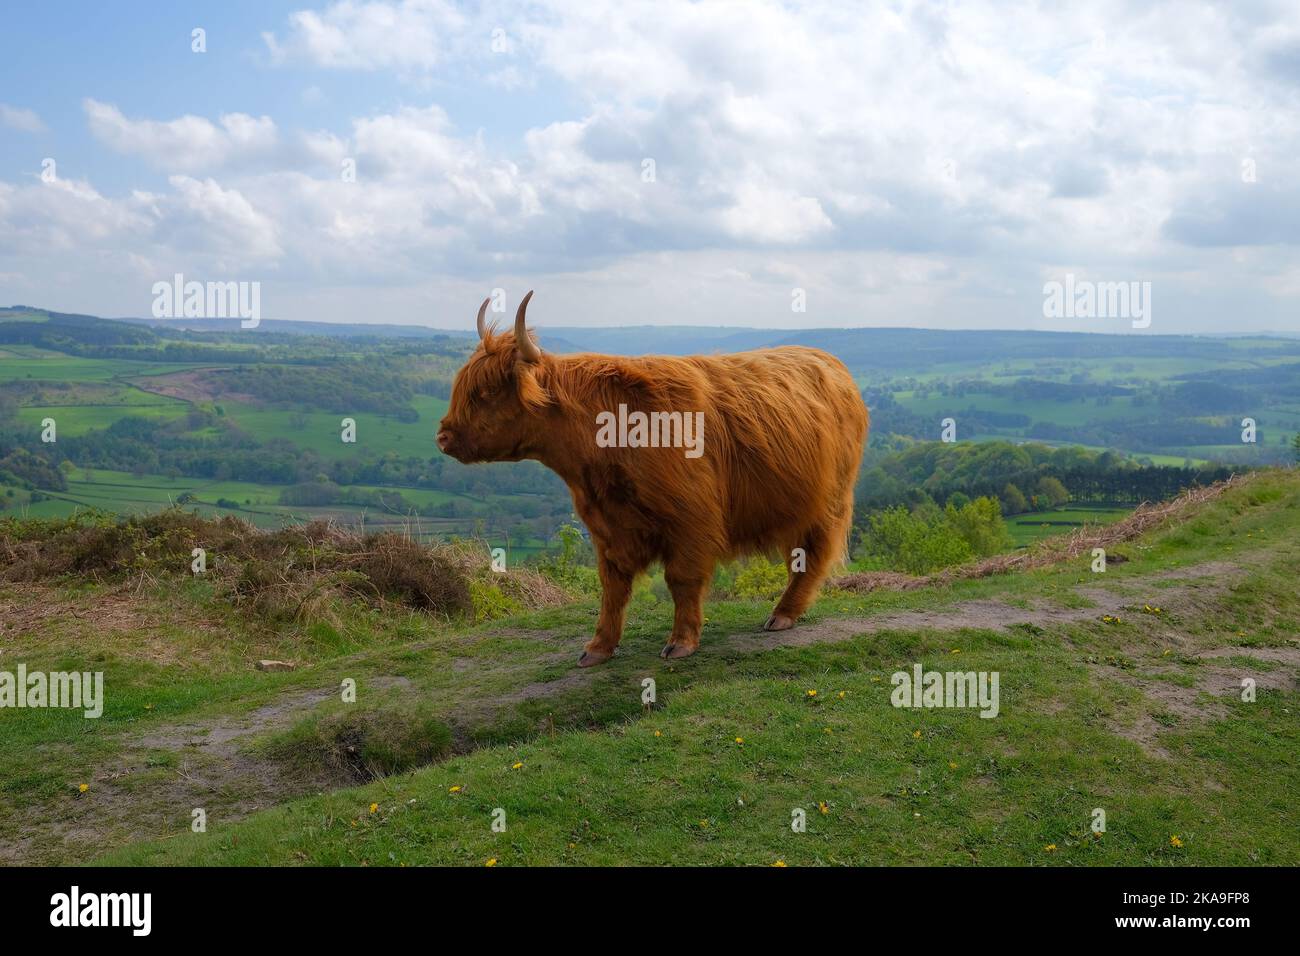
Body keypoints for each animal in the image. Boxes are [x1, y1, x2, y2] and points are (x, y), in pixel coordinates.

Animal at [437, 292, 869, 667]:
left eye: (487, 392)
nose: (443, 436)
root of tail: (831, 361)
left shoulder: (691, 521)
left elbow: (681, 579)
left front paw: (681, 642)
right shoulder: (607, 528)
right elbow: (612, 588)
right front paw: (598, 648)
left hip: (828, 501)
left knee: (812, 556)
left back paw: (782, 615)